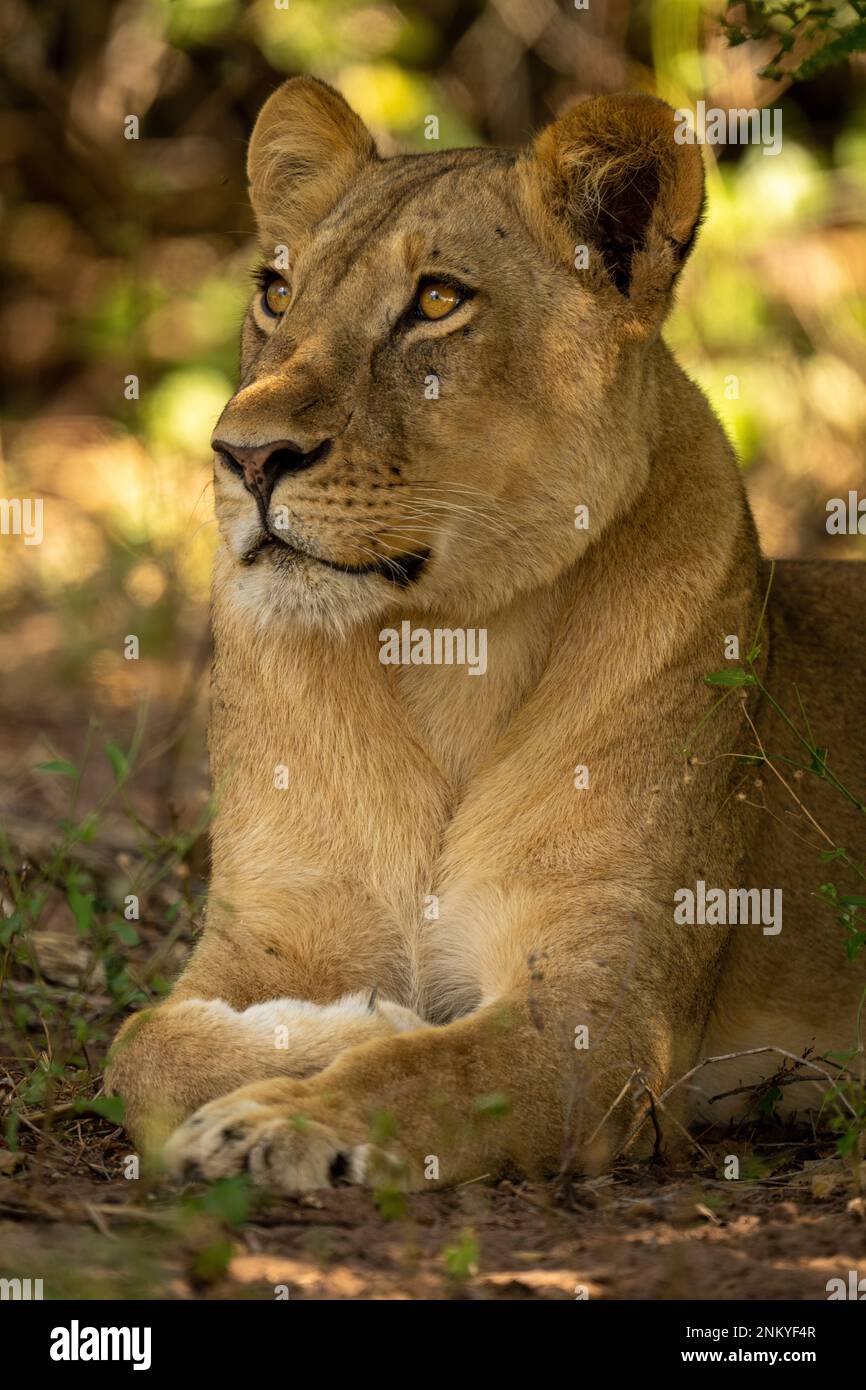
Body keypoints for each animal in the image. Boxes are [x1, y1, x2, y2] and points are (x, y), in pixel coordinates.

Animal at [106, 79, 866, 1192]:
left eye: (435, 301)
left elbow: (433, 1073)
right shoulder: (263, 934)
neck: (446, 643)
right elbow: (140, 1046)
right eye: (276, 294)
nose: (242, 456)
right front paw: (342, 1025)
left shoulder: (600, 1015)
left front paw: (285, 1115)